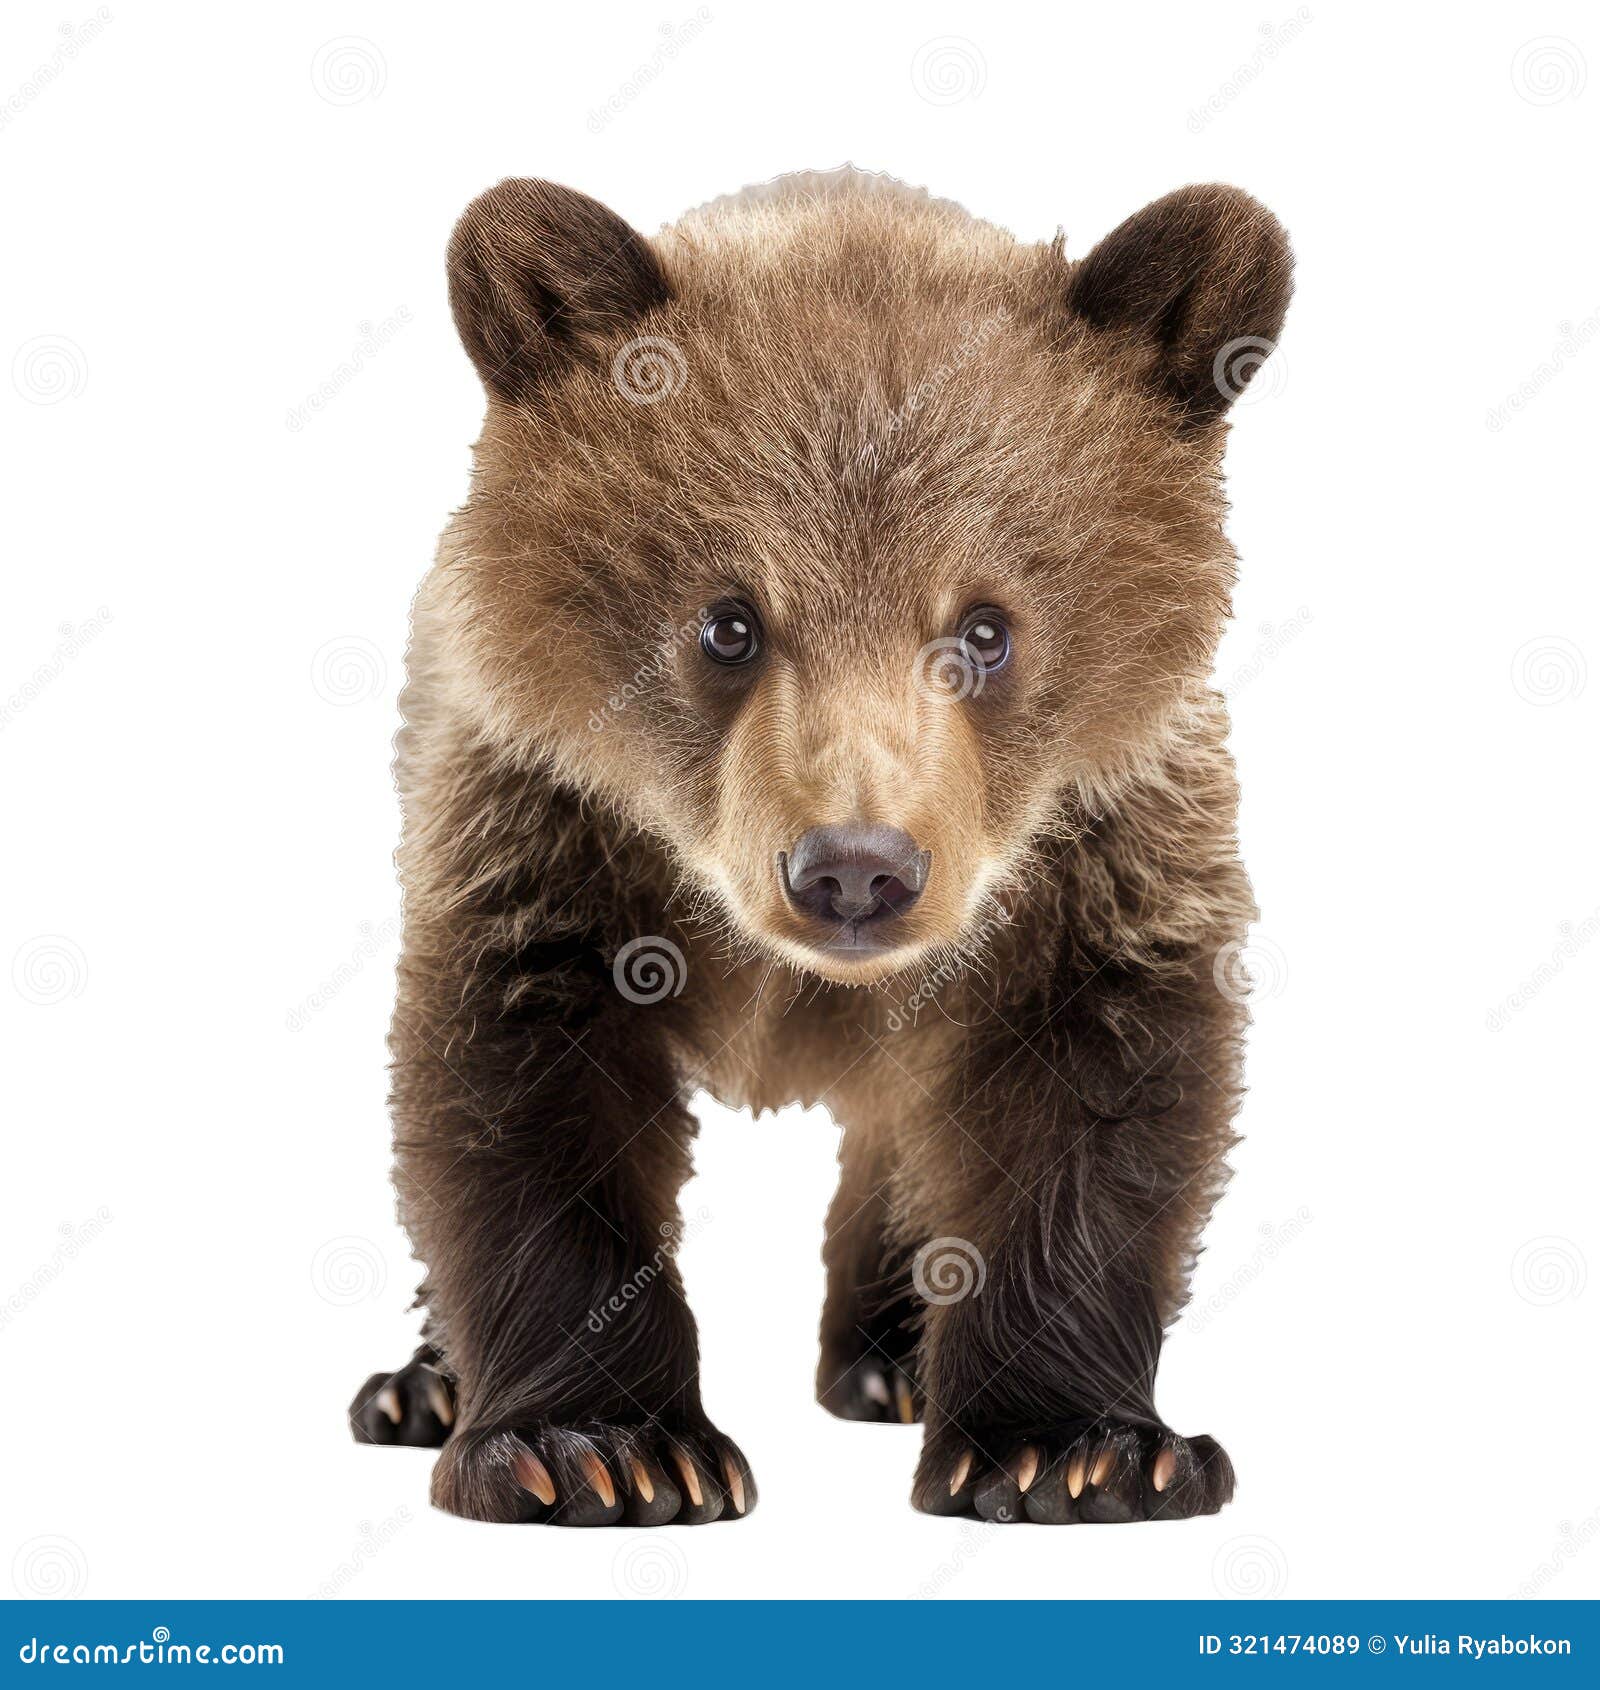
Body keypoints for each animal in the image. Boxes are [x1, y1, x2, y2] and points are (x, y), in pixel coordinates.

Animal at [349, 167, 1292, 1527]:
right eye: (726, 621)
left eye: (987, 628)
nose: (854, 868)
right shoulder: (540, 825)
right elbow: (517, 1095)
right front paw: (601, 1447)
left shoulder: (1104, 853)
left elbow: (1096, 1099)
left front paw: (1071, 1448)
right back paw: (420, 1385)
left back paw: (892, 1355)